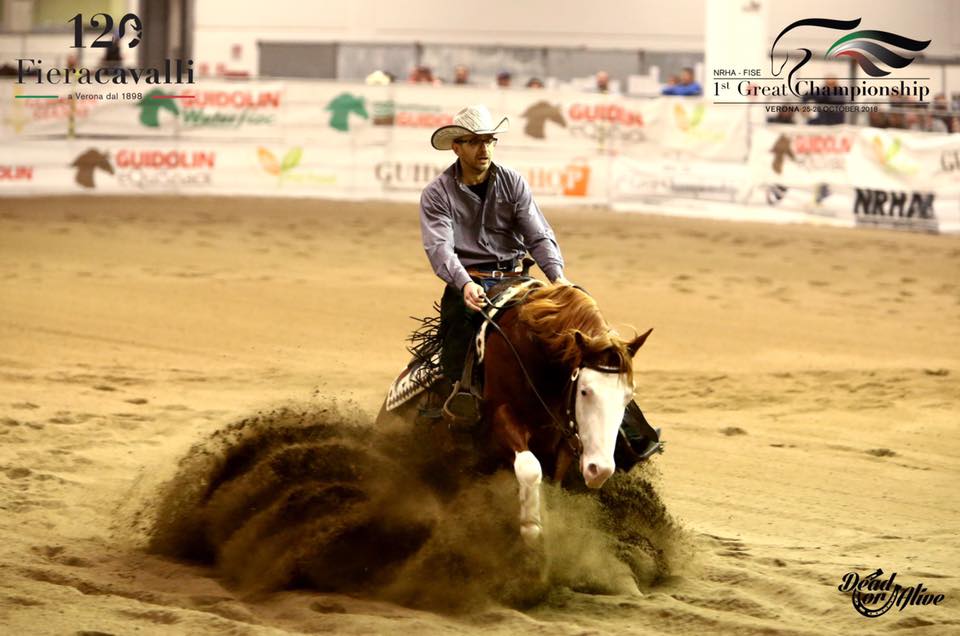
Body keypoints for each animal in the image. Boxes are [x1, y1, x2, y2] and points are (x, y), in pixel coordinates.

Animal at [377, 282, 652, 544]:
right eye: (584, 390)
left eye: (628, 396)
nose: (600, 470)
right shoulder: (501, 421)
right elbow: (530, 468)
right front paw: (532, 528)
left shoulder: (564, 436)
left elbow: (555, 480)